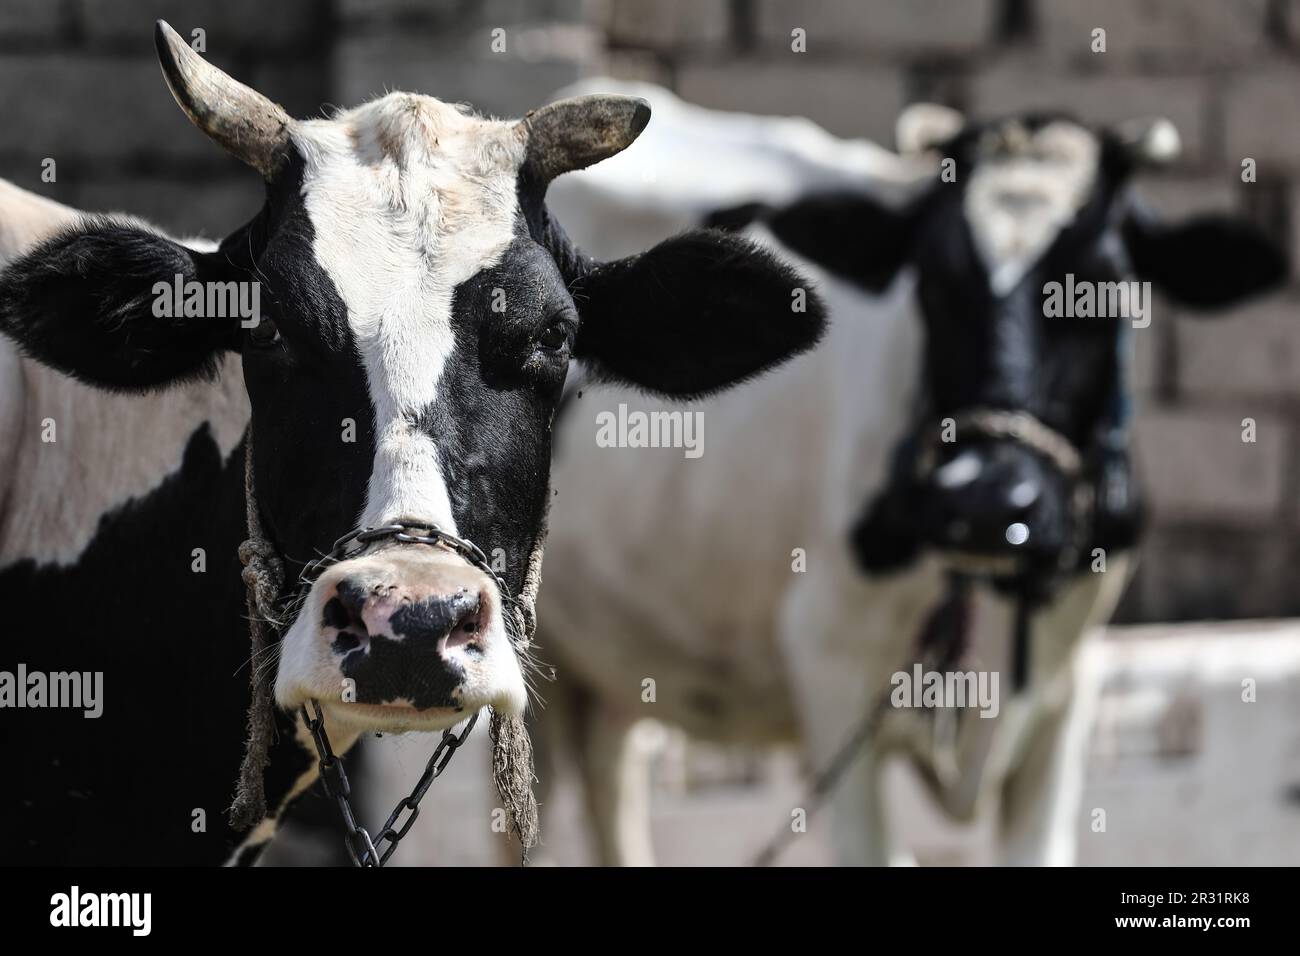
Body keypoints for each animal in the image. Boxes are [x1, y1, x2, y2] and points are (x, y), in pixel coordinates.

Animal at [532, 81, 1288, 866]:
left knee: (609, 774)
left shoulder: (1067, 687)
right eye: (933, 279)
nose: (987, 502)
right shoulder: (831, 661)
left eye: (1104, 285)